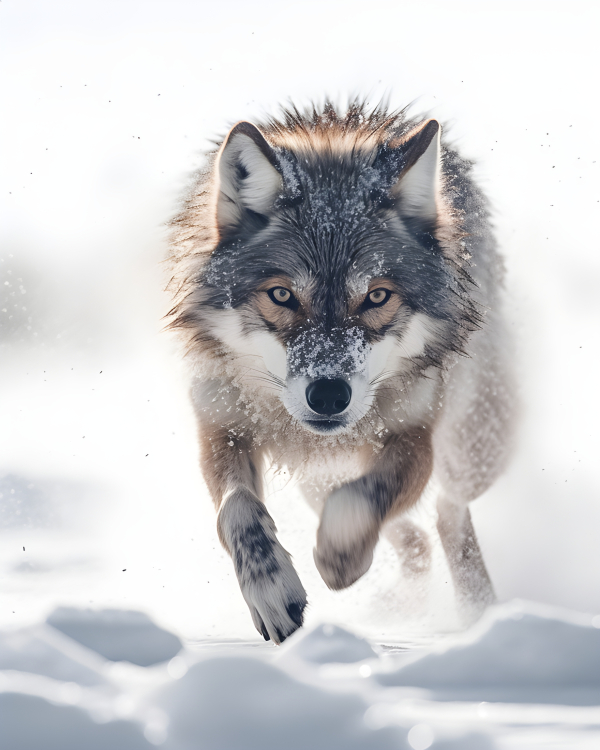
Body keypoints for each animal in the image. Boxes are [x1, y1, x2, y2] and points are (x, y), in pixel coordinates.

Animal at [168, 101, 514, 643]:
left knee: (447, 510)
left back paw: (475, 609)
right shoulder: (222, 428)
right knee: (417, 542)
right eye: (282, 295)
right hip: (316, 481)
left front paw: (340, 556)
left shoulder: (414, 434)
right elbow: (237, 511)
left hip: (472, 445)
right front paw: (272, 592)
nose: (329, 395)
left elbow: (362, 499)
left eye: (376, 296)